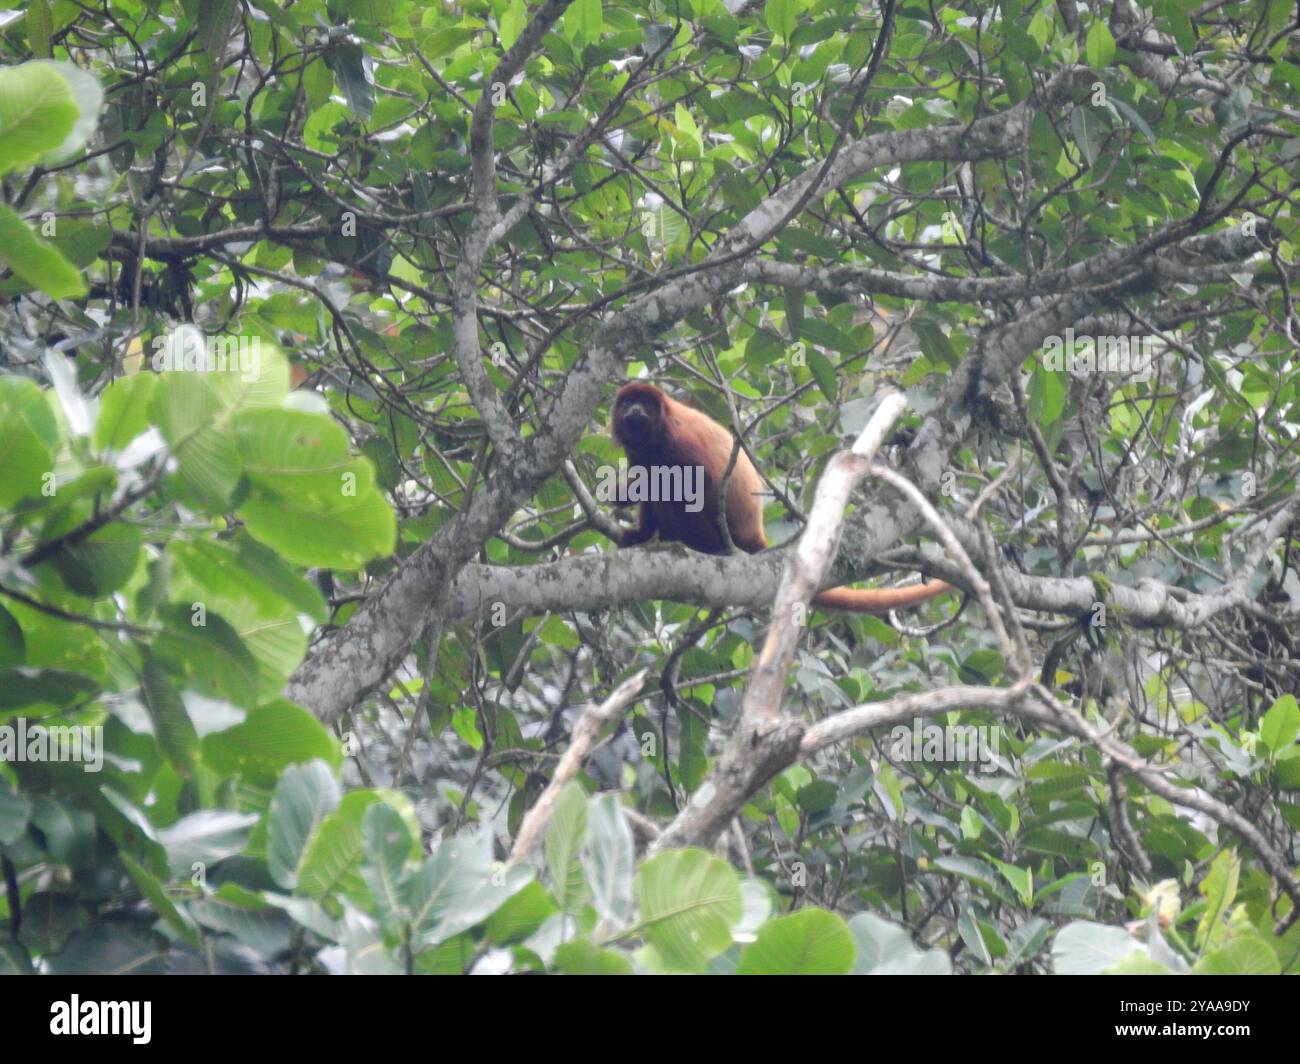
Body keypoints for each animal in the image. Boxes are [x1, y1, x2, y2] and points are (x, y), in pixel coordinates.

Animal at [608, 381, 951, 614]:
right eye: (629, 402)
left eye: (644, 404)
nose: (635, 410)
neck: (654, 436)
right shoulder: (638, 451)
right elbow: (647, 483)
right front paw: (628, 507)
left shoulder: (678, 440)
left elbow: (697, 484)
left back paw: (696, 542)